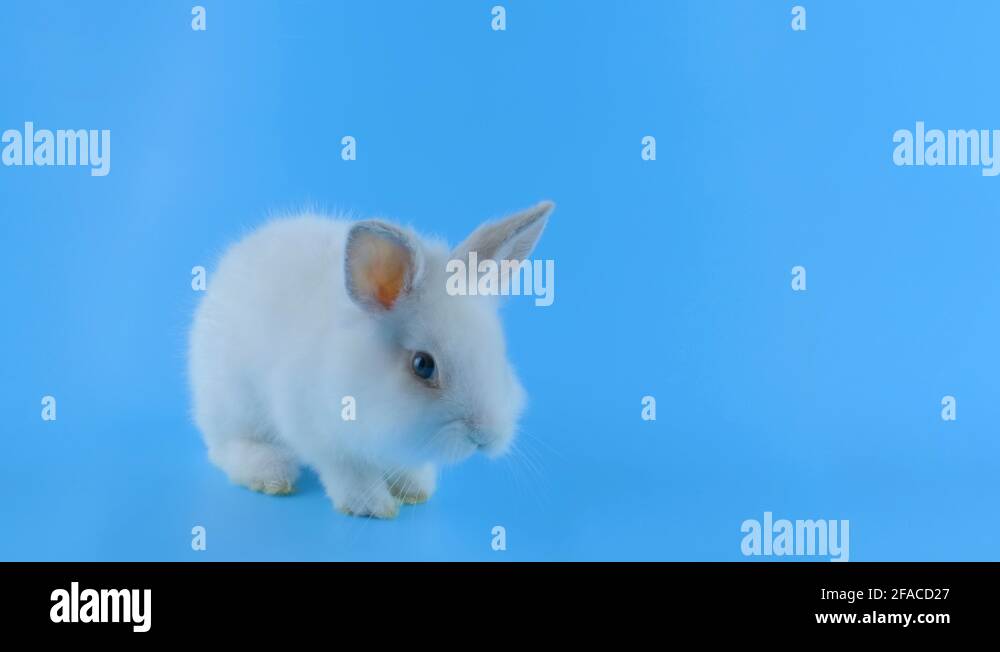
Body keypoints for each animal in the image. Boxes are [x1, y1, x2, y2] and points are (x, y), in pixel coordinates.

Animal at [188, 201, 553, 518]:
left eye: (499, 353)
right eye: (423, 365)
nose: (485, 436)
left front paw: (415, 488)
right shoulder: (318, 433)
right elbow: (350, 472)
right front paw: (371, 505)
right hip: (234, 405)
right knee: (224, 448)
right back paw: (270, 473)